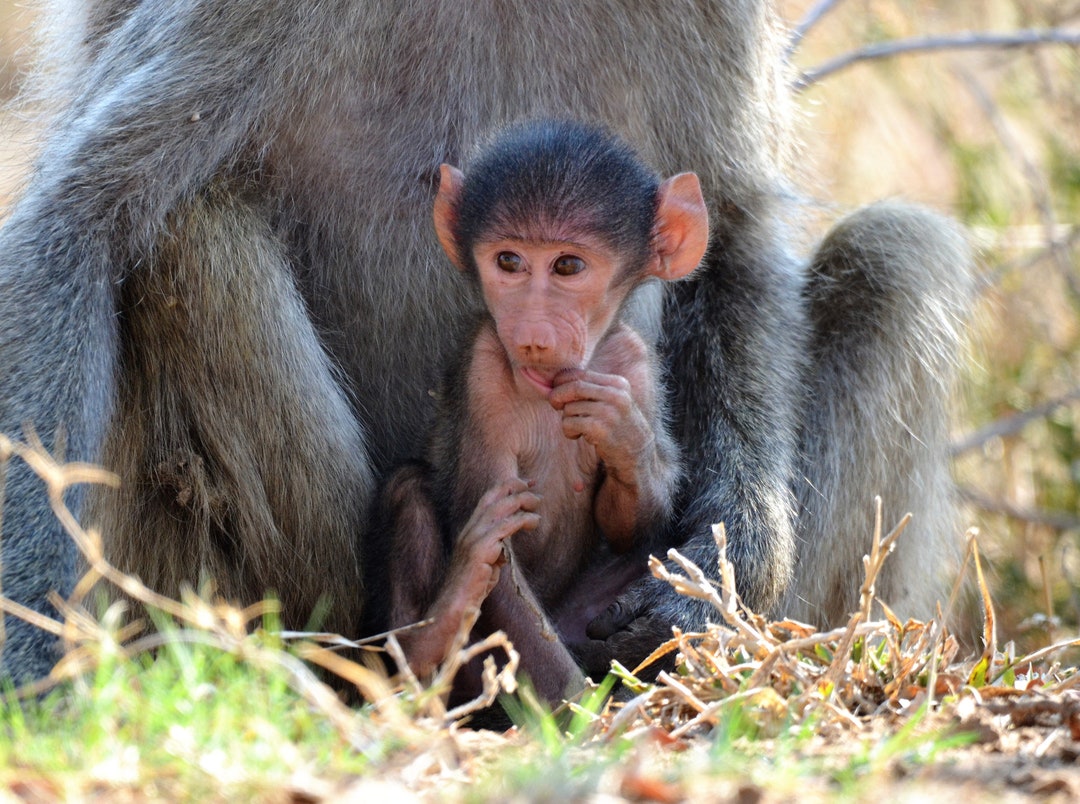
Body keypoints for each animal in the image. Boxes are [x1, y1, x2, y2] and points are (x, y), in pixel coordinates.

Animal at [365, 120, 708, 702]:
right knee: (412, 492)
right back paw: (432, 633)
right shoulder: (483, 369)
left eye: (568, 266)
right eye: (509, 261)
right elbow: (506, 577)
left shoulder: (633, 364)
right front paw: (582, 712)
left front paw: (622, 434)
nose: (531, 334)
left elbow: (634, 531)